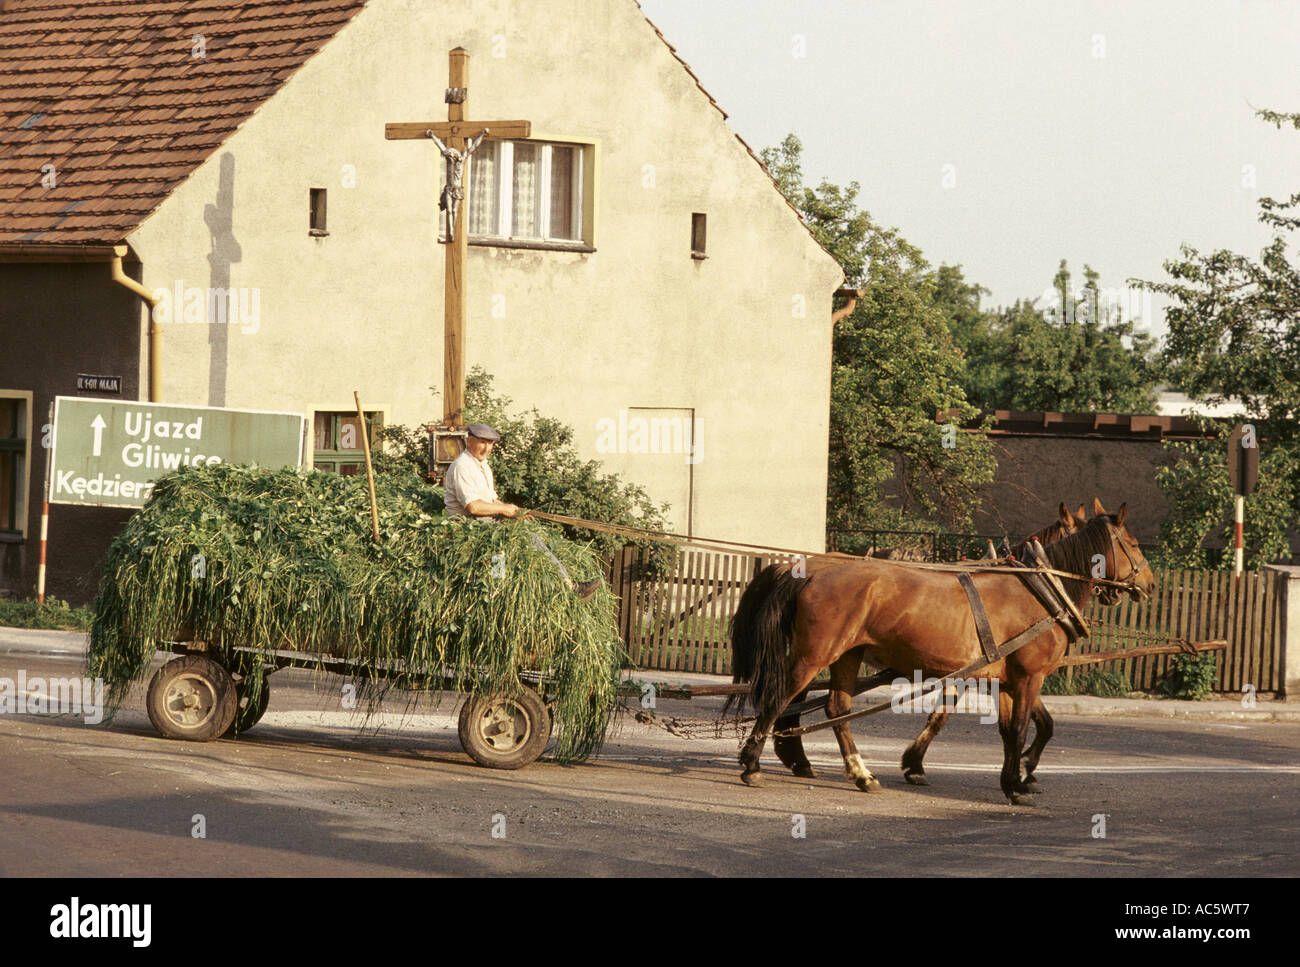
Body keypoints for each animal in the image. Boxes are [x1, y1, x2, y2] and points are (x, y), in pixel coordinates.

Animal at [727, 504, 1153, 803]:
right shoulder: (1027, 676)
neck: (1040, 589)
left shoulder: (1005, 680)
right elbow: (1018, 728)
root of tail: (811, 571)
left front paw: (1017, 776)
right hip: (814, 654)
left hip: (846, 655)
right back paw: (755, 763)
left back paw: (858, 773)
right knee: (779, 698)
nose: (1149, 583)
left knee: (835, 709)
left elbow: (1016, 729)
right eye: (1132, 544)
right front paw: (1017, 782)